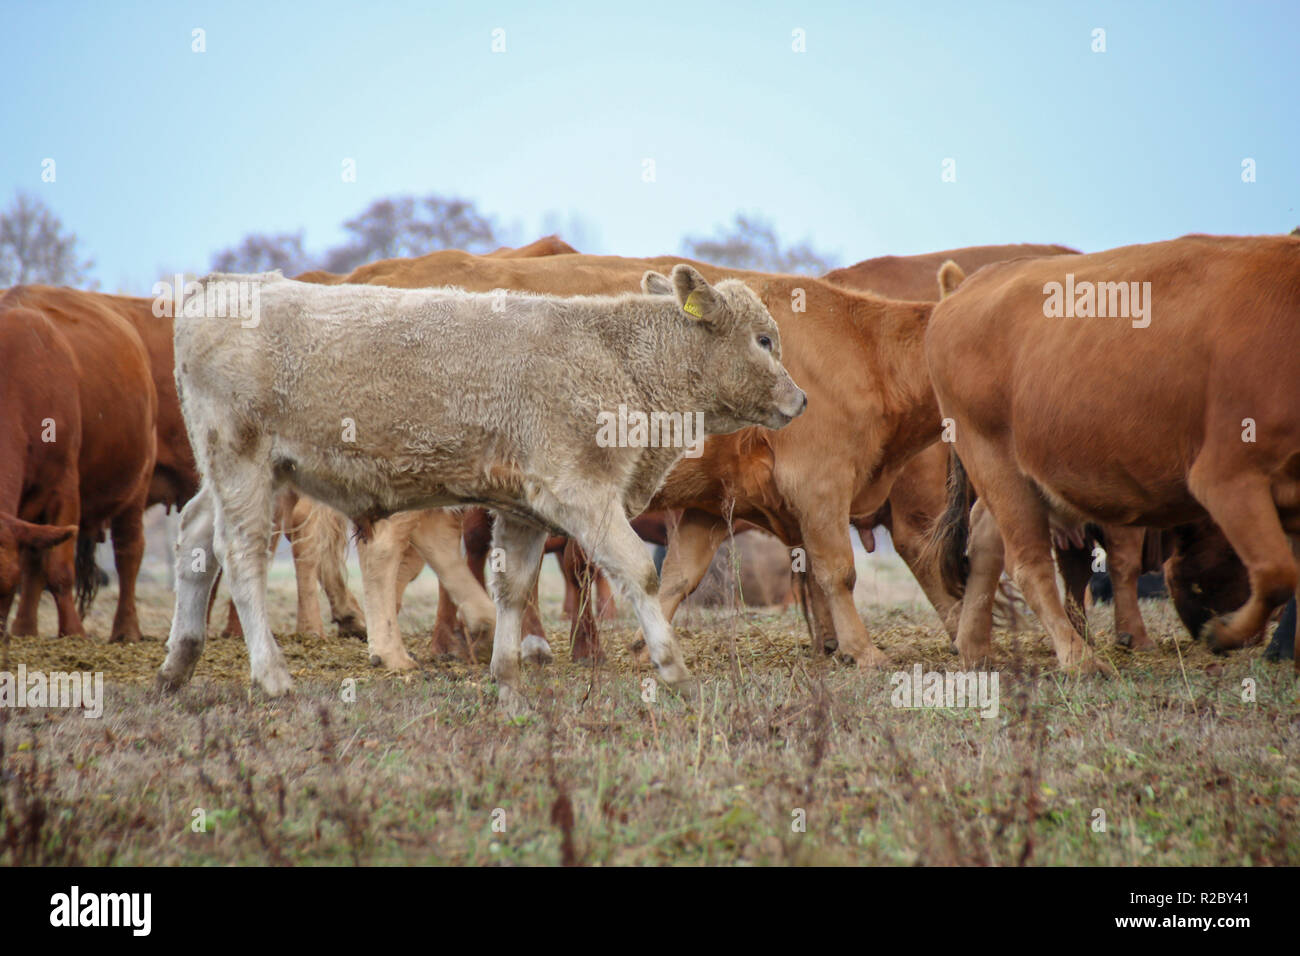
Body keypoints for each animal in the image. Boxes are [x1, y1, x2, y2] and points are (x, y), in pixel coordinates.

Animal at [0, 287, 157, 643]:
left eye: (3, 585)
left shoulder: (65, 491)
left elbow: (60, 570)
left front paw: (73, 632)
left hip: (136, 486)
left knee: (129, 554)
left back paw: (126, 629)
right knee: (35, 559)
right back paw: (25, 628)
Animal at [157, 267, 805, 699]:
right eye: (764, 340)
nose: (800, 400)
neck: (614, 356)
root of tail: (221, 285)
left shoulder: (523, 507)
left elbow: (512, 588)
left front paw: (507, 675)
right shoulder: (584, 491)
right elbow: (638, 572)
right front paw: (673, 667)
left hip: (239, 472)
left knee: (194, 537)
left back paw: (178, 664)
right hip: (241, 461)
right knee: (239, 553)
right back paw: (271, 675)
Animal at [927, 234, 1300, 673]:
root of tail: (962, 289)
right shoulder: (1227, 479)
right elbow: (1276, 574)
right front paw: (1222, 633)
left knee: (987, 537)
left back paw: (975, 648)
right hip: (997, 467)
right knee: (1028, 564)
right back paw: (1078, 658)